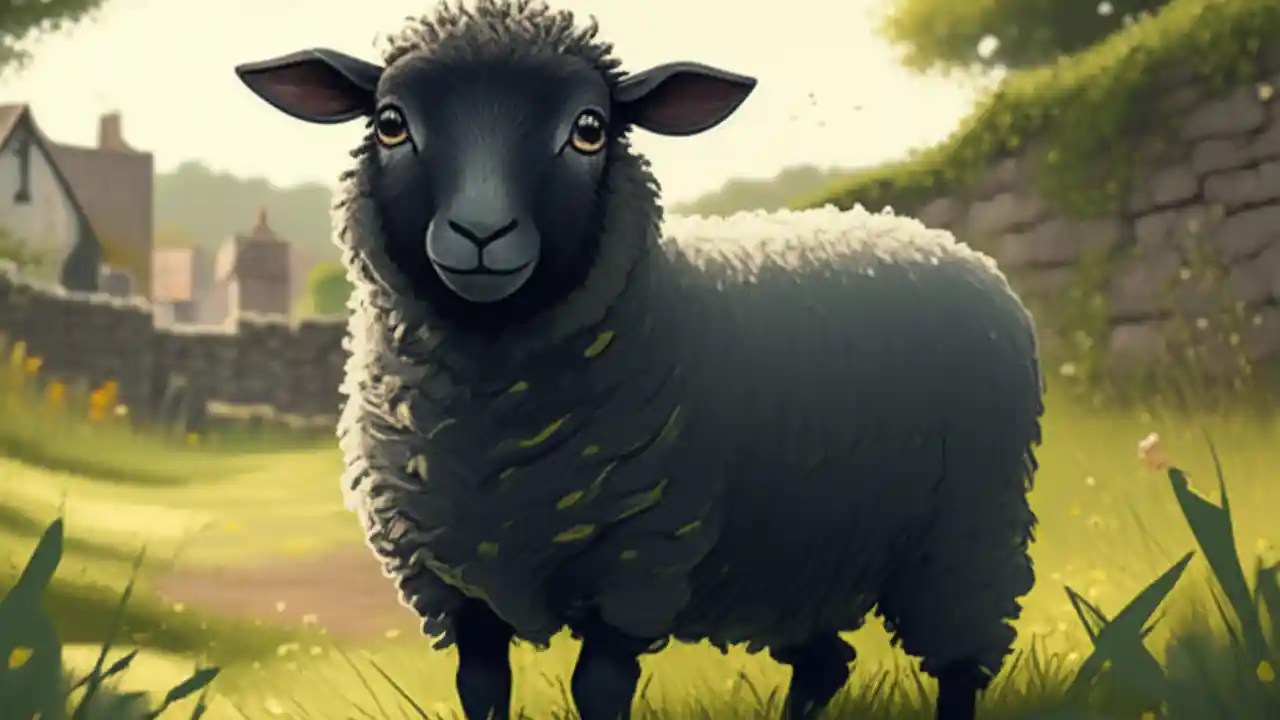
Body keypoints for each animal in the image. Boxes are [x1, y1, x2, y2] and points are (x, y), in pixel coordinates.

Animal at [234, 1, 1044, 718]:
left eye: (589, 130)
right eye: (390, 123)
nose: (480, 234)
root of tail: (947, 244)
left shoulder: (638, 563)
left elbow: (598, 690)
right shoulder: (456, 581)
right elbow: (481, 690)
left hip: (965, 534)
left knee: (960, 668)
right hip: (801, 552)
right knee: (825, 664)